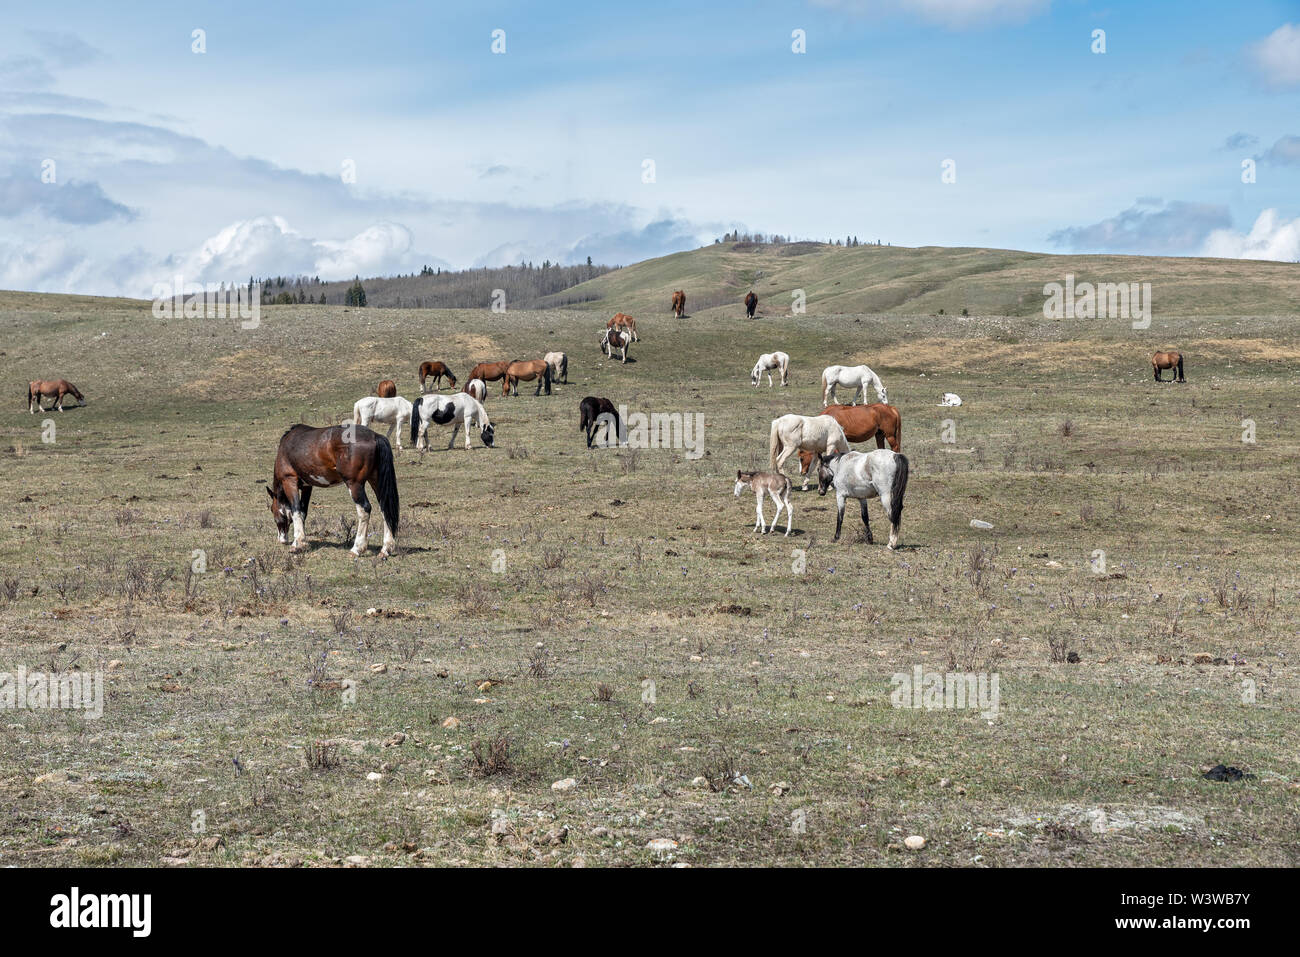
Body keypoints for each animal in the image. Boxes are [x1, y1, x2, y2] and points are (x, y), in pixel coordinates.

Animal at [267, 424, 399, 558]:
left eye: (272, 510)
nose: (282, 539)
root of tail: (374, 436)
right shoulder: (307, 486)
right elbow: (303, 512)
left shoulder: (289, 480)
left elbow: (296, 511)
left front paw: (297, 544)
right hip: (376, 481)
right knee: (385, 509)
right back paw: (386, 549)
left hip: (354, 485)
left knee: (365, 510)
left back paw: (357, 548)